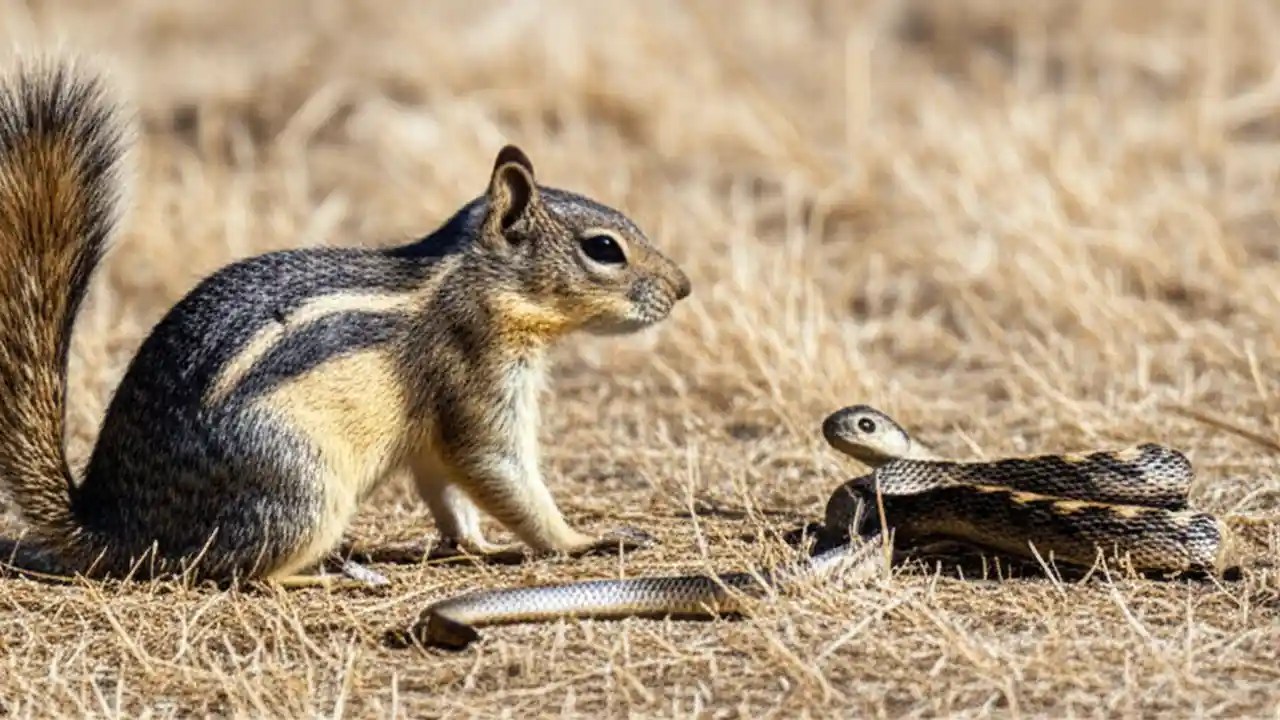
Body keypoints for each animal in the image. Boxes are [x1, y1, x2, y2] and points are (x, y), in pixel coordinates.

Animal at [0, 58, 691, 587]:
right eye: (604, 249)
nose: (683, 288)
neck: (474, 280)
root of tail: (114, 526)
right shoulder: (475, 377)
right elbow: (500, 471)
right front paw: (584, 541)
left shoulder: (436, 432)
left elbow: (446, 488)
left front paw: (480, 546)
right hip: (302, 484)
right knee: (239, 571)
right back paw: (336, 575)